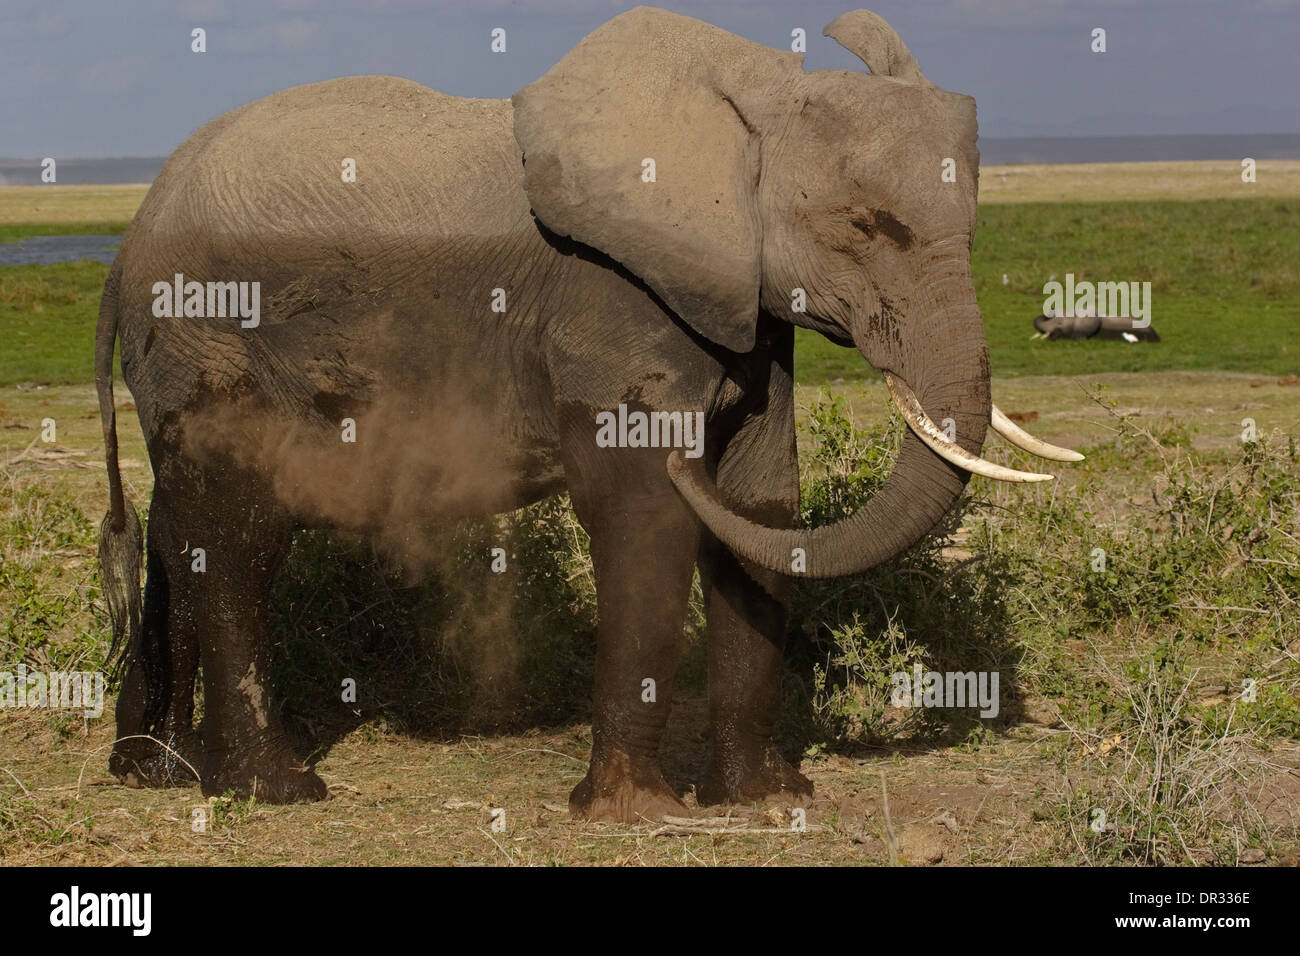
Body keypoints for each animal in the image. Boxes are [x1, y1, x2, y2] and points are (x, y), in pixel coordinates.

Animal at [96, 6, 1083, 822]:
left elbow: (762, 505)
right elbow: (645, 515)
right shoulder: (612, 304)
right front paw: (640, 815)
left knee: (176, 528)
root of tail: (123, 250)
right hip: (213, 339)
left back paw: (155, 772)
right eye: (863, 228)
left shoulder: (743, 300)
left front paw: (764, 801)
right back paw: (275, 789)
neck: (756, 94)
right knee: (239, 536)